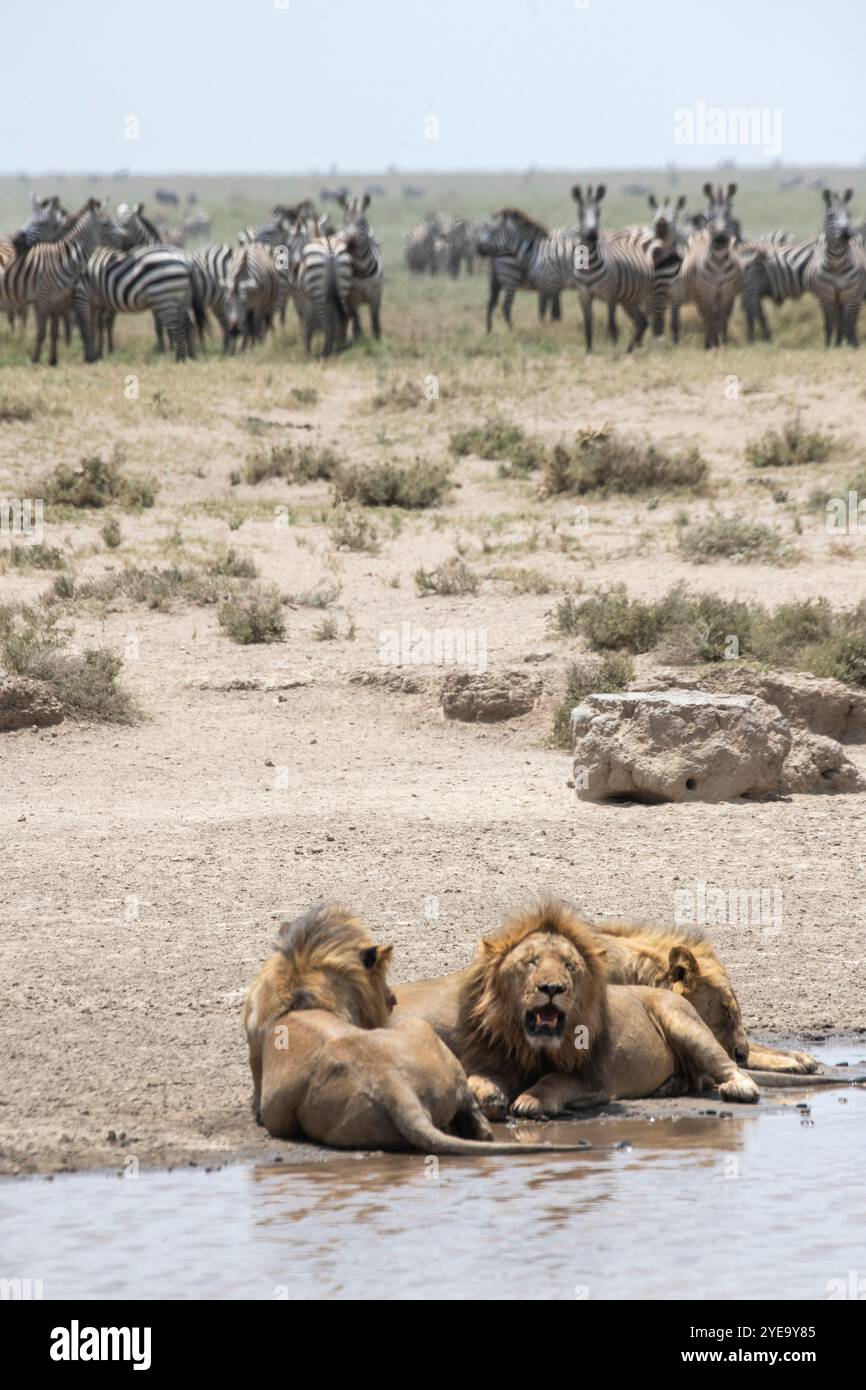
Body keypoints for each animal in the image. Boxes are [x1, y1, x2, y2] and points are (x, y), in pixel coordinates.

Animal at [0, 199, 105, 363]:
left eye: (41, 223)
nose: (15, 241)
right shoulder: (51, 298)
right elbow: (44, 329)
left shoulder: (61, 301)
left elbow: (56, 330)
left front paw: (55, 359)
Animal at [339, 194, 384, 339]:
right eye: (345, 221)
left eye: (363, 222)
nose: (350, 243)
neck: (362, 269)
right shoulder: (352, 298)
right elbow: (356, 321)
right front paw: (358, 338)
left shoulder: (376, 294)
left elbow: (375, 319)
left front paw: (377, 339)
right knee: (348, 318)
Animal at [570, 185, 654, 352]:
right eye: (580, 213)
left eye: (598, 212)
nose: (592, 235)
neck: (588, 266)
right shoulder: (583, 295)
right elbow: (588, 324)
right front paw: (589, 351)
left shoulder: (610, 295)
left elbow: (611, 325)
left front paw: (614, 349)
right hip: (628, 299)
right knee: (641, 321)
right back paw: (630, 349)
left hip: (644, 294)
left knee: (646, 320)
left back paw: (630, 349)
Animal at [681, 183, 744, 348]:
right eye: (710, 212)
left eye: (729, 211)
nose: (721, 238)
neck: (719, 262)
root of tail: (702, 230)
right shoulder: (706, 291)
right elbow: (710, 317)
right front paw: (711, 343)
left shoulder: (727, 291)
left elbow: (721, 317)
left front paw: (722, 342)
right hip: (698, 294)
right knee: (705, 315)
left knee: (723, 316)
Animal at [804, 189, 866, 347]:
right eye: (830, 215)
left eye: (849, 214)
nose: (846, 234)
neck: (837, 263)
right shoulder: (827, 297)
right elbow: (833, 323)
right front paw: (831, 346)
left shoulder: (853, 296)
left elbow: (850, 323)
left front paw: (854, 345)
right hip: (831, 298)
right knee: (835, 320)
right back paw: (836, 342)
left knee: (846, 320)